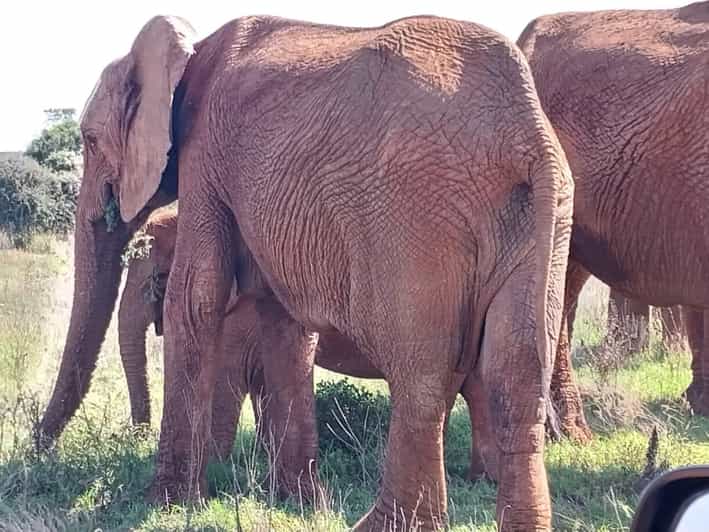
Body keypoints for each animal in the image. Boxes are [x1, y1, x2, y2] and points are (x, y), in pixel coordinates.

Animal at [41, 14, 574, 531]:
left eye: (89, 140)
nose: (40, 446)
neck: (186, 49)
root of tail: (529, 133)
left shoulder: (206, 152)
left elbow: (195, 298)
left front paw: (168, 504)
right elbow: (285, 322)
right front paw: (300, 504)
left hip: (417, 215)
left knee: (423, 372)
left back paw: (383, 524)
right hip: (539, 218)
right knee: (513, 371)